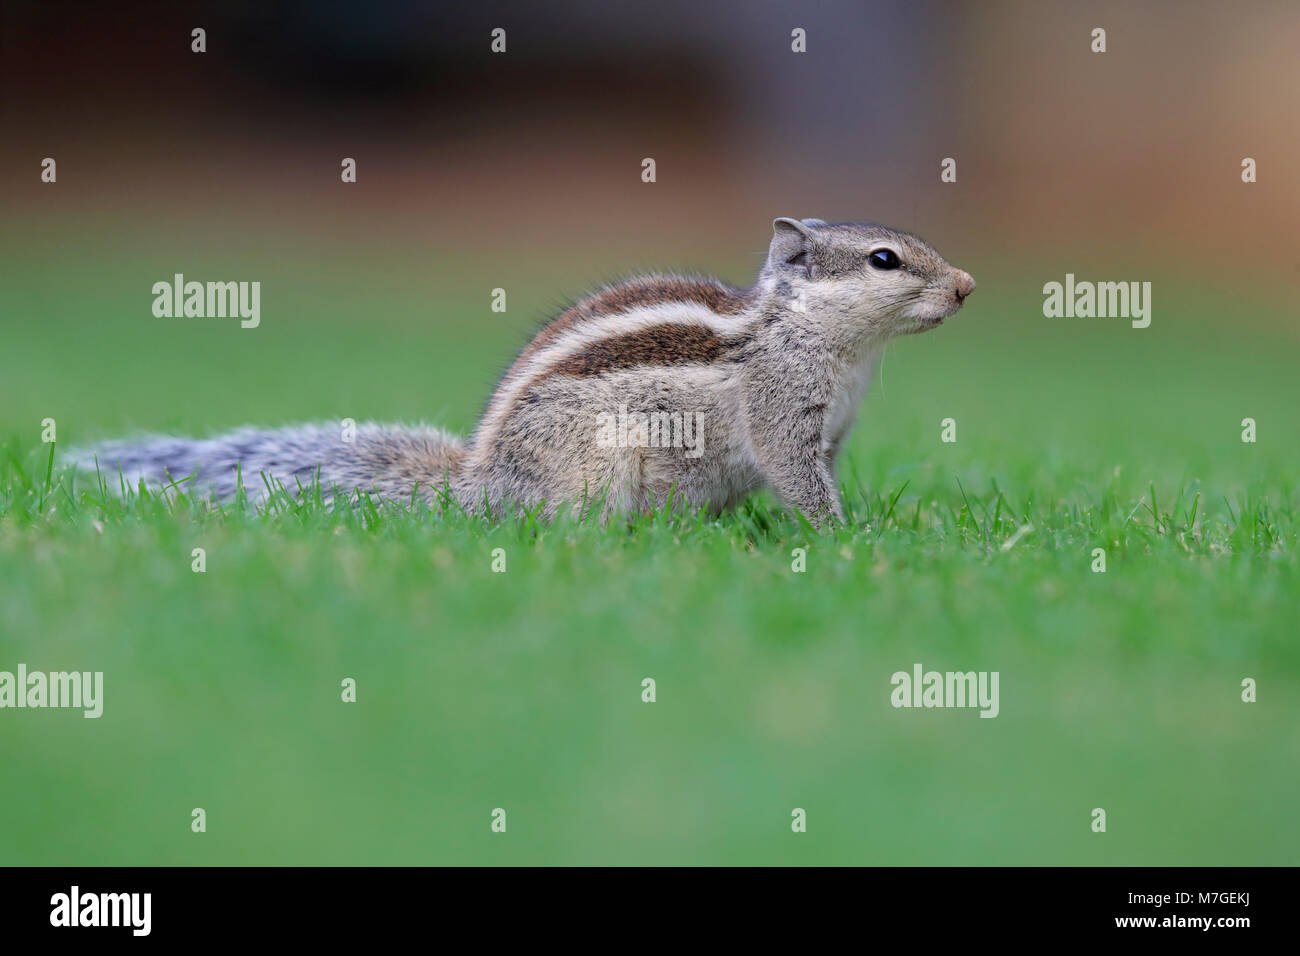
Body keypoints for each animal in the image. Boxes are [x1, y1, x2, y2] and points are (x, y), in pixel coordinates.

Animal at [75, 219, 974, 527]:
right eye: (885, 259)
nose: (967, 286)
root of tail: (480, 483)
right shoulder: (783, 413)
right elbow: (798, 479)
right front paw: (847, 539)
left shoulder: (831, 432)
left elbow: (818, 477)